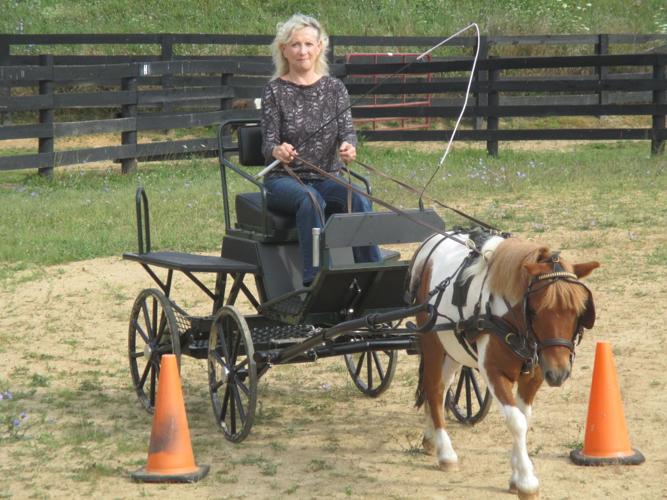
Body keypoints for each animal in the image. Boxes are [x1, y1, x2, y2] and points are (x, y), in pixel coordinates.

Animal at [406, 229, 599, 499]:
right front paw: (527, 481)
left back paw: (430, 437)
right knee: (433, 389)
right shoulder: (494, 373)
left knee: (442, 389)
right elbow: (516, 422)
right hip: (432, 341)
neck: (512, 319)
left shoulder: (535, 375)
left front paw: (516, 475)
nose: (559, 373)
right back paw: (446, 453)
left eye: (579, 310)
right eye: (536, 310)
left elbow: (524, 419)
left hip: (453, 348)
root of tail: (430, 242)